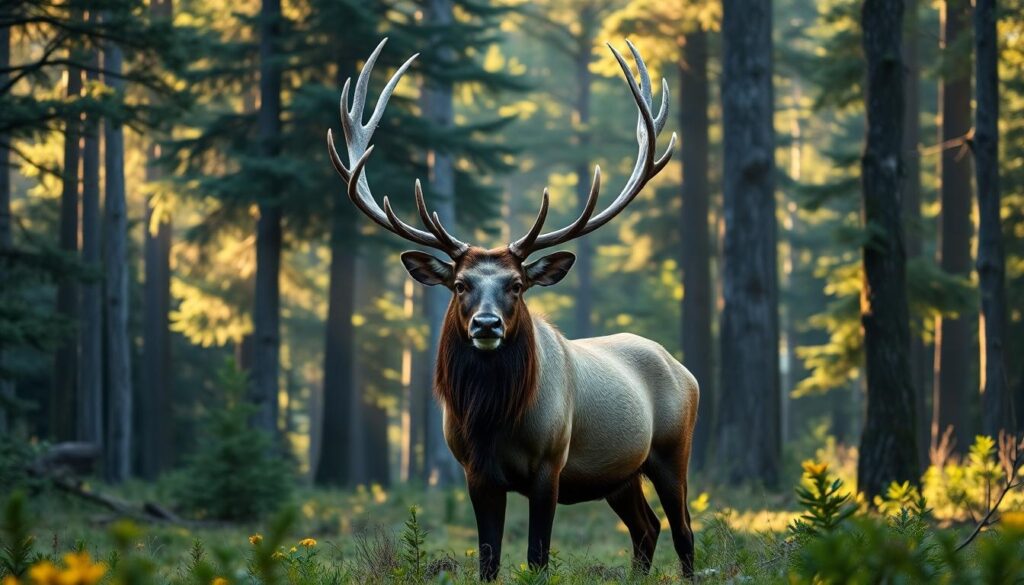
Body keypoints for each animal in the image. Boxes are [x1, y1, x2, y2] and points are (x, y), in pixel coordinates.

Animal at [327, 39, 699, 581]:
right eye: (460, 285)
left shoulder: (551, 464)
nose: (487, 324)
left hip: (673, 449)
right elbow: (489, 558)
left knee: (684, 532)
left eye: (518, 285)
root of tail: (684, 370)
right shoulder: (474, 472)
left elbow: (537, 557)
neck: (493, 419)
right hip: (618, 473)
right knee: (645, 529)